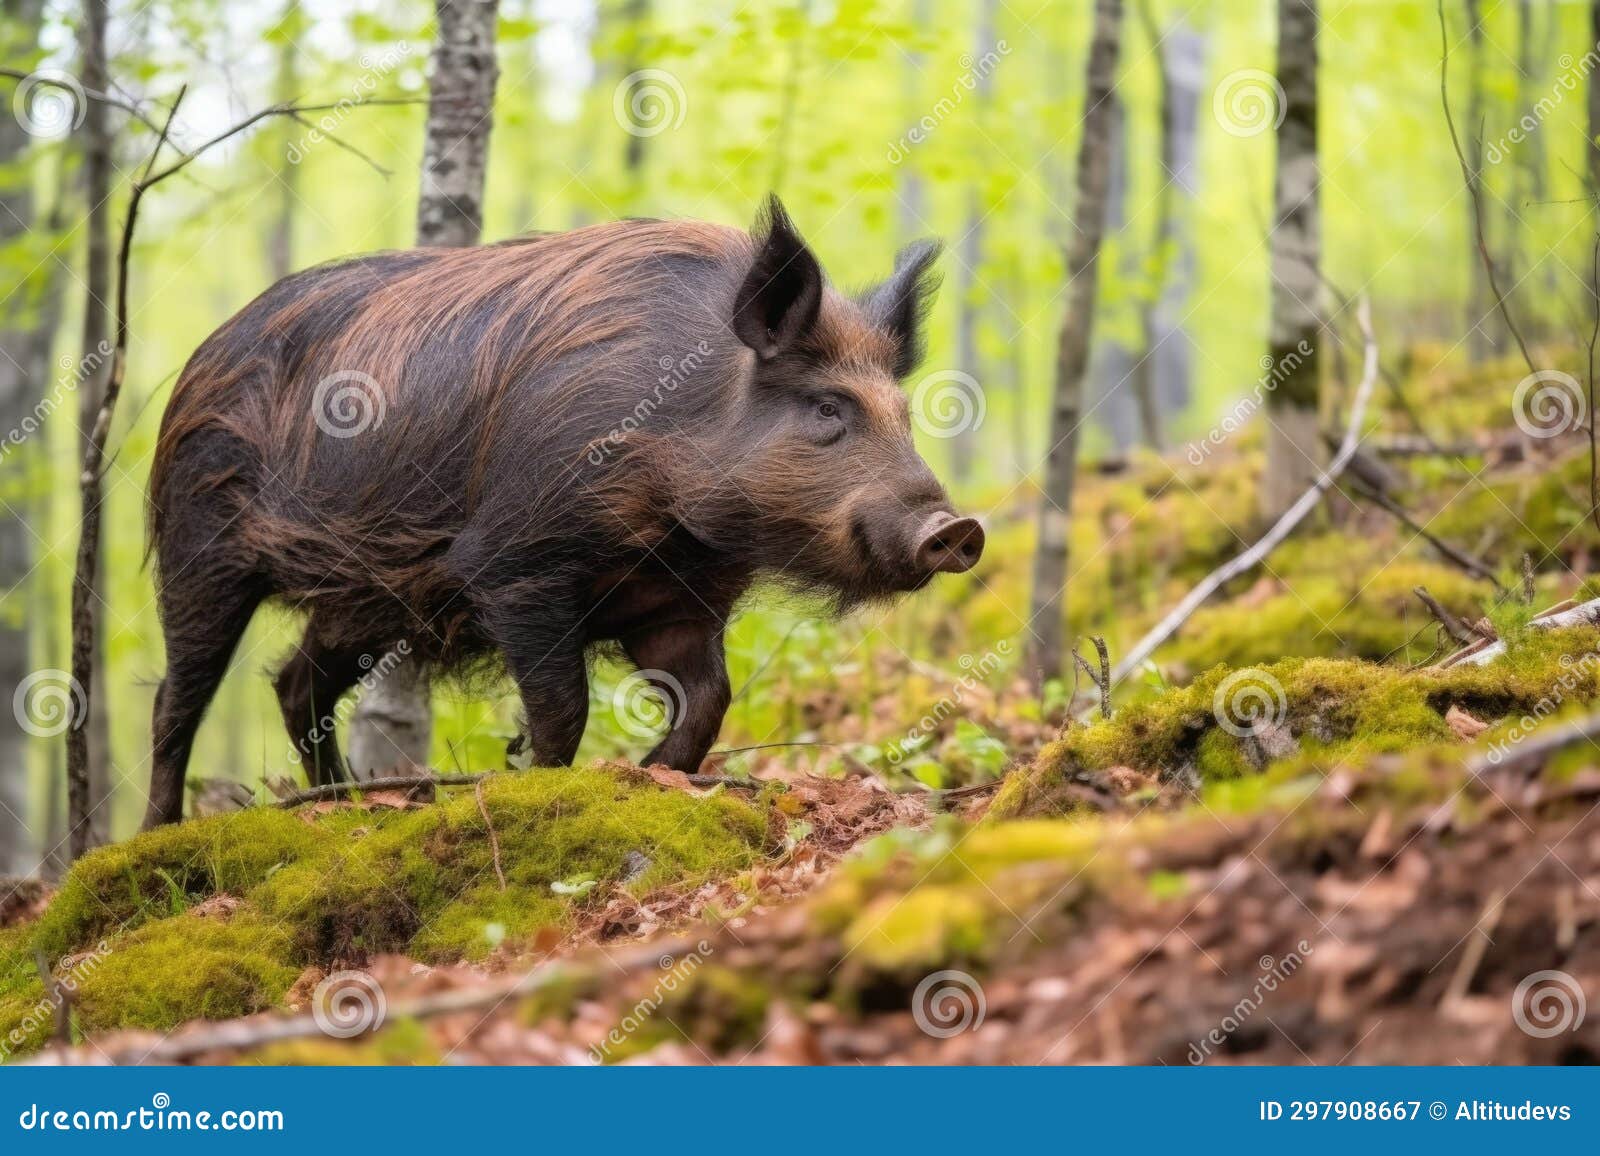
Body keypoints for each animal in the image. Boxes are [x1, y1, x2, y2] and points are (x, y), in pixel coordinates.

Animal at [142, 196, 983, 827]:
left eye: (905, 413)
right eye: (826, 408)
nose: (957, 528)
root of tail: (198, 357)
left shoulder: (675, 602)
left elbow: (709, 700)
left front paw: (651, 775)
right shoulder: (515, 568)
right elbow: (562, 705)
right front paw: (538, 781)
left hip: (363, 599)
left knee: (297, 684)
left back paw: (340, 805)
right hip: (198, 549)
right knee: (177, 700)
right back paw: (158, 832)